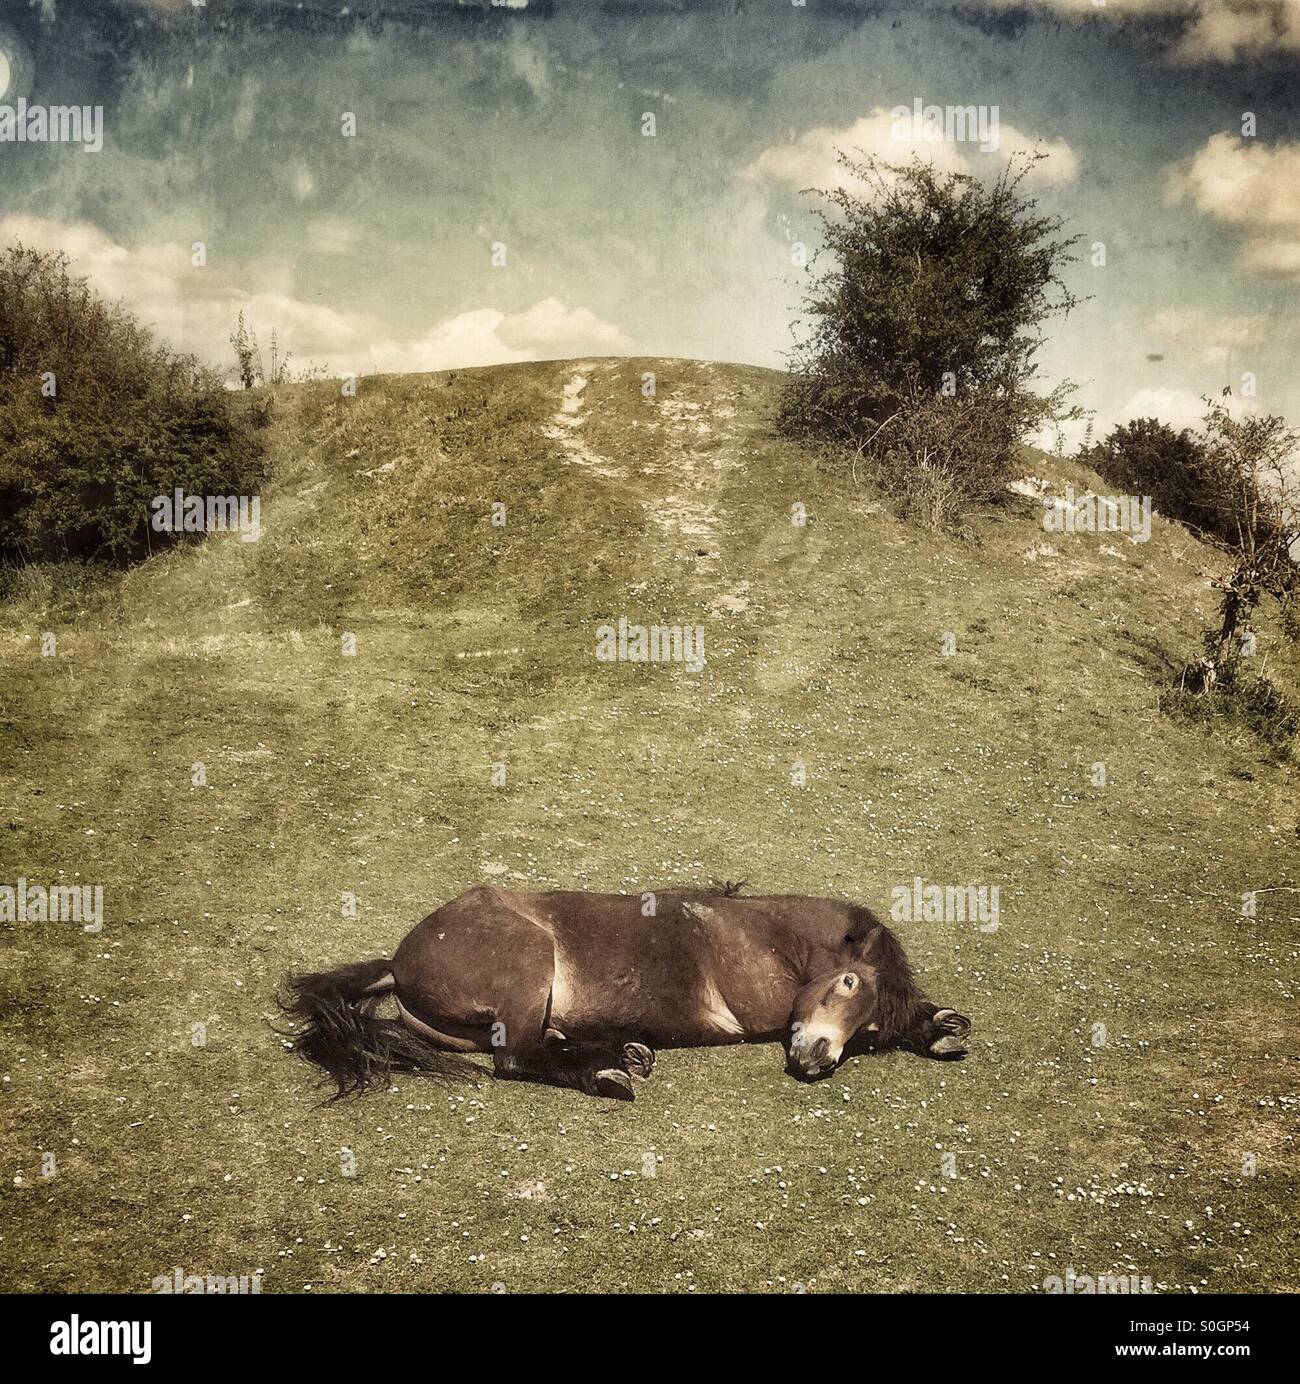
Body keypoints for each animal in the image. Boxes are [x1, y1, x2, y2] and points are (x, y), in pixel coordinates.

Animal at [283, 884, 972, 1101]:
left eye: (870, 1031)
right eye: (847, 981)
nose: (818, 1061)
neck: (767, 937)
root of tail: (398, 964)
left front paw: (939, 1027)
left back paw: (622, 1053)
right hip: (527, 966)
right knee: (516, 1058)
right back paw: (611, 1070)